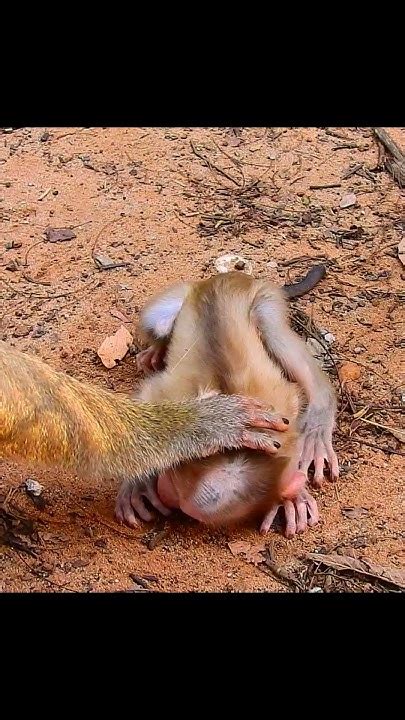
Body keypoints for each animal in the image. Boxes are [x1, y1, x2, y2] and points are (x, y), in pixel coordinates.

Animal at [115, 265, 338, 538]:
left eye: (172, 487)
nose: (163, 490)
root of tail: (227, 277)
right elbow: (145, 400)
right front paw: (137, 481)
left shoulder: (285, 414)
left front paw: (294, 497)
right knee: (156, 322)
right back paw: (157, 350)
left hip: (265, 296)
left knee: (270, 326)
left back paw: (319, 420)